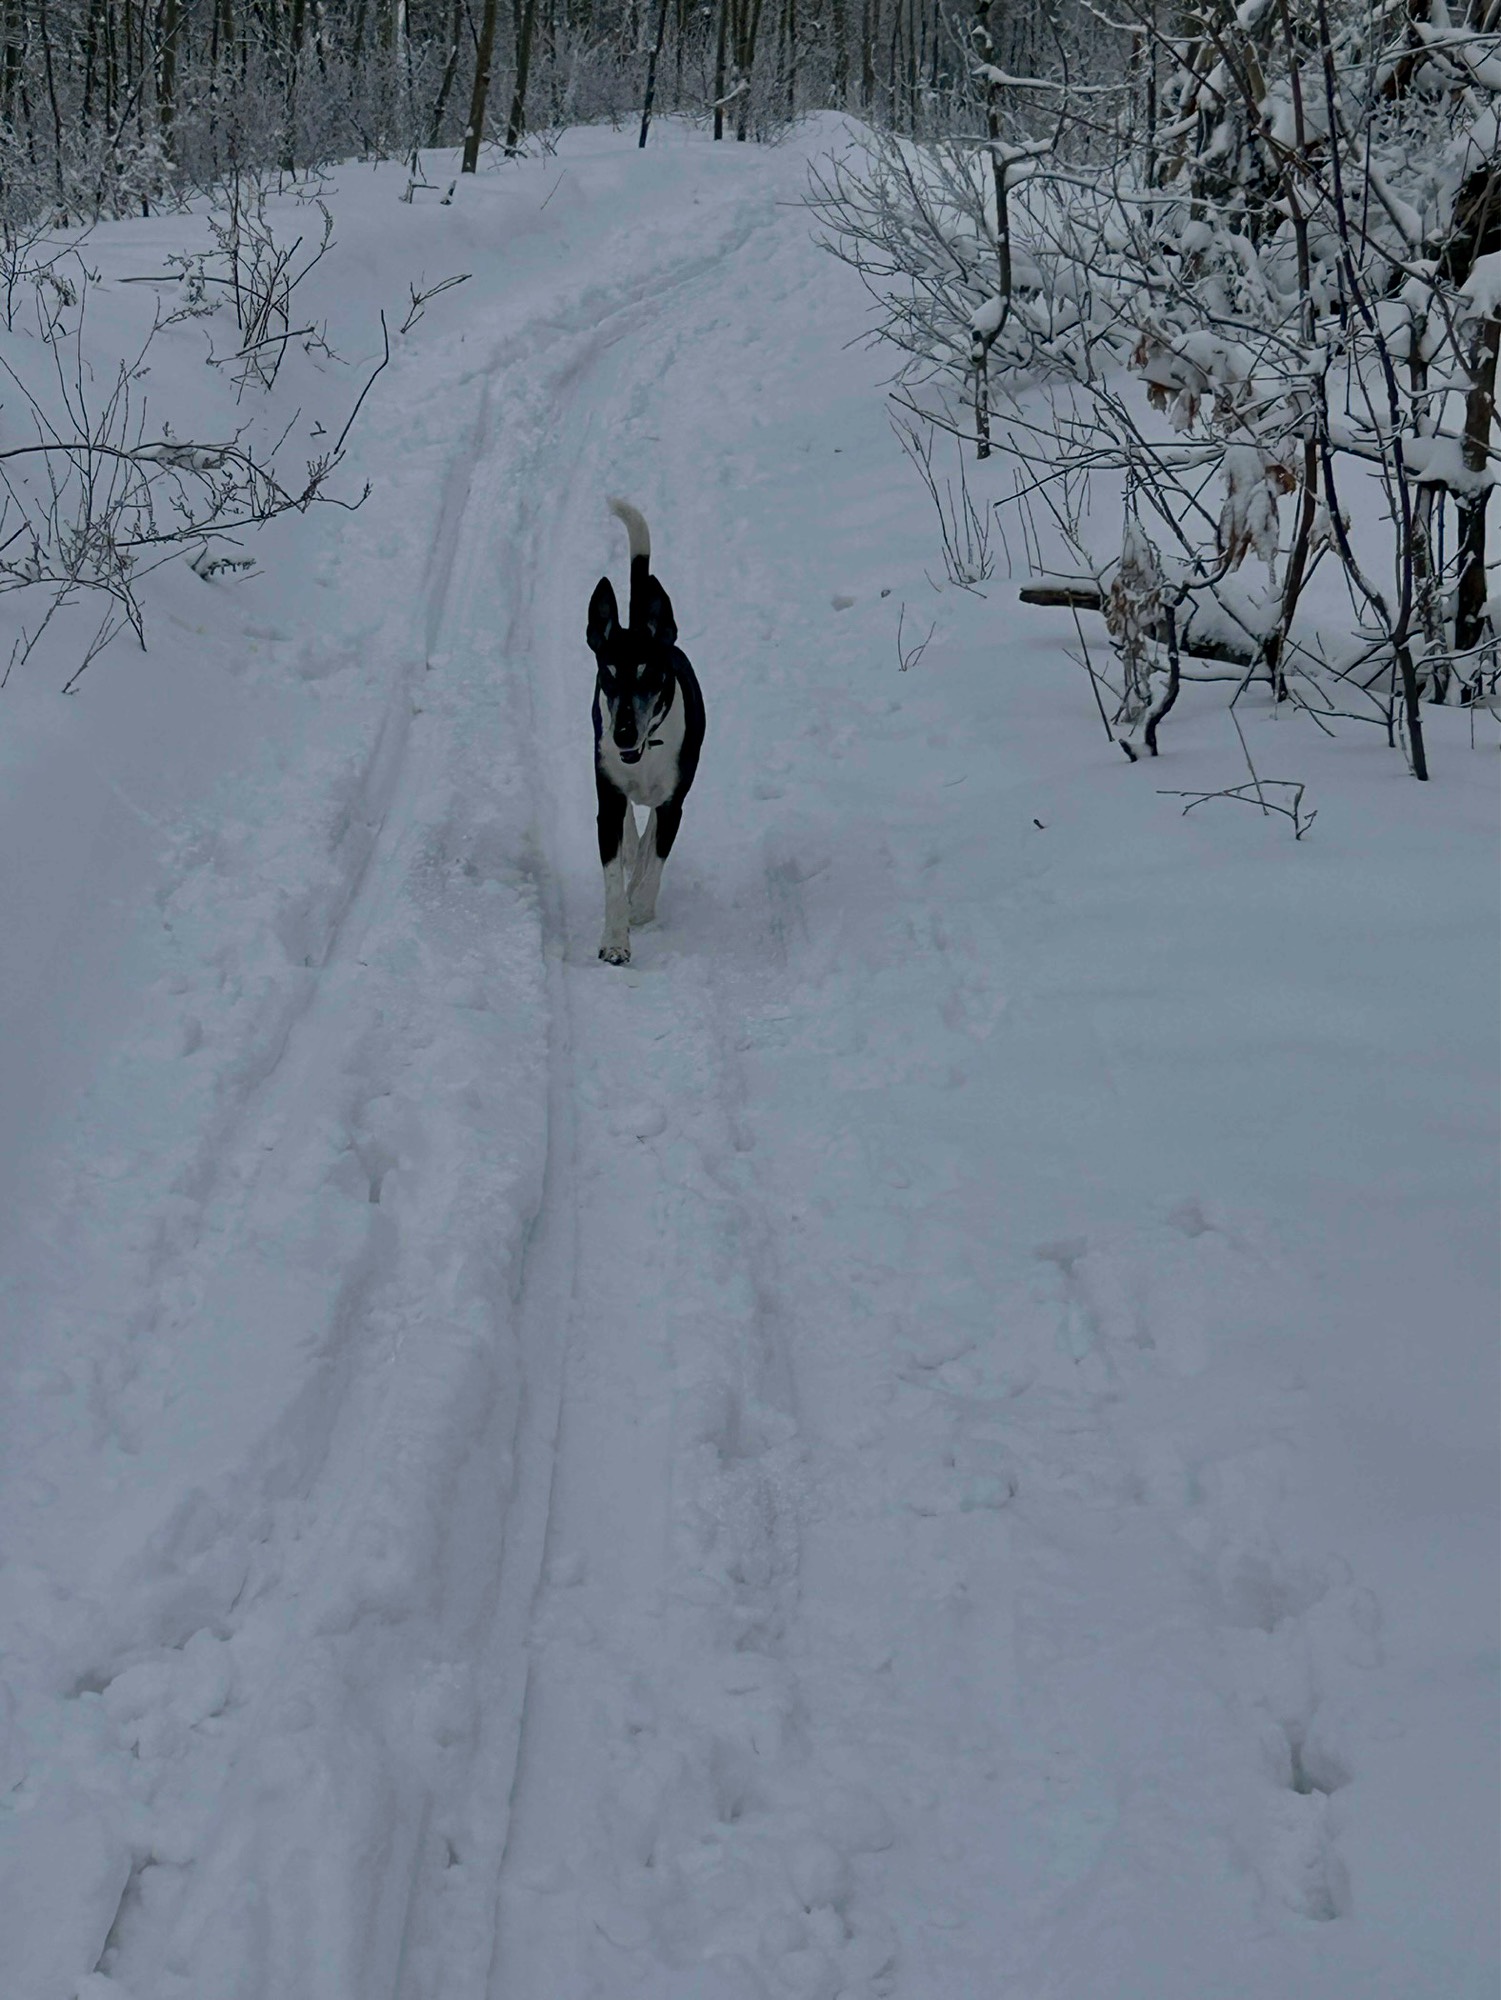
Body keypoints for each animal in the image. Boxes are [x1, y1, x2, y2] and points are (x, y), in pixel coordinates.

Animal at [588, 504, 704, 964]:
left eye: (648, 675)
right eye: (608, 674)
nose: (622, 734)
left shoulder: (674, 802)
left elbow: (655, 859)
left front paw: (640, 906)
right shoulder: (607, 799)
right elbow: (611, 880)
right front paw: (615, 941)